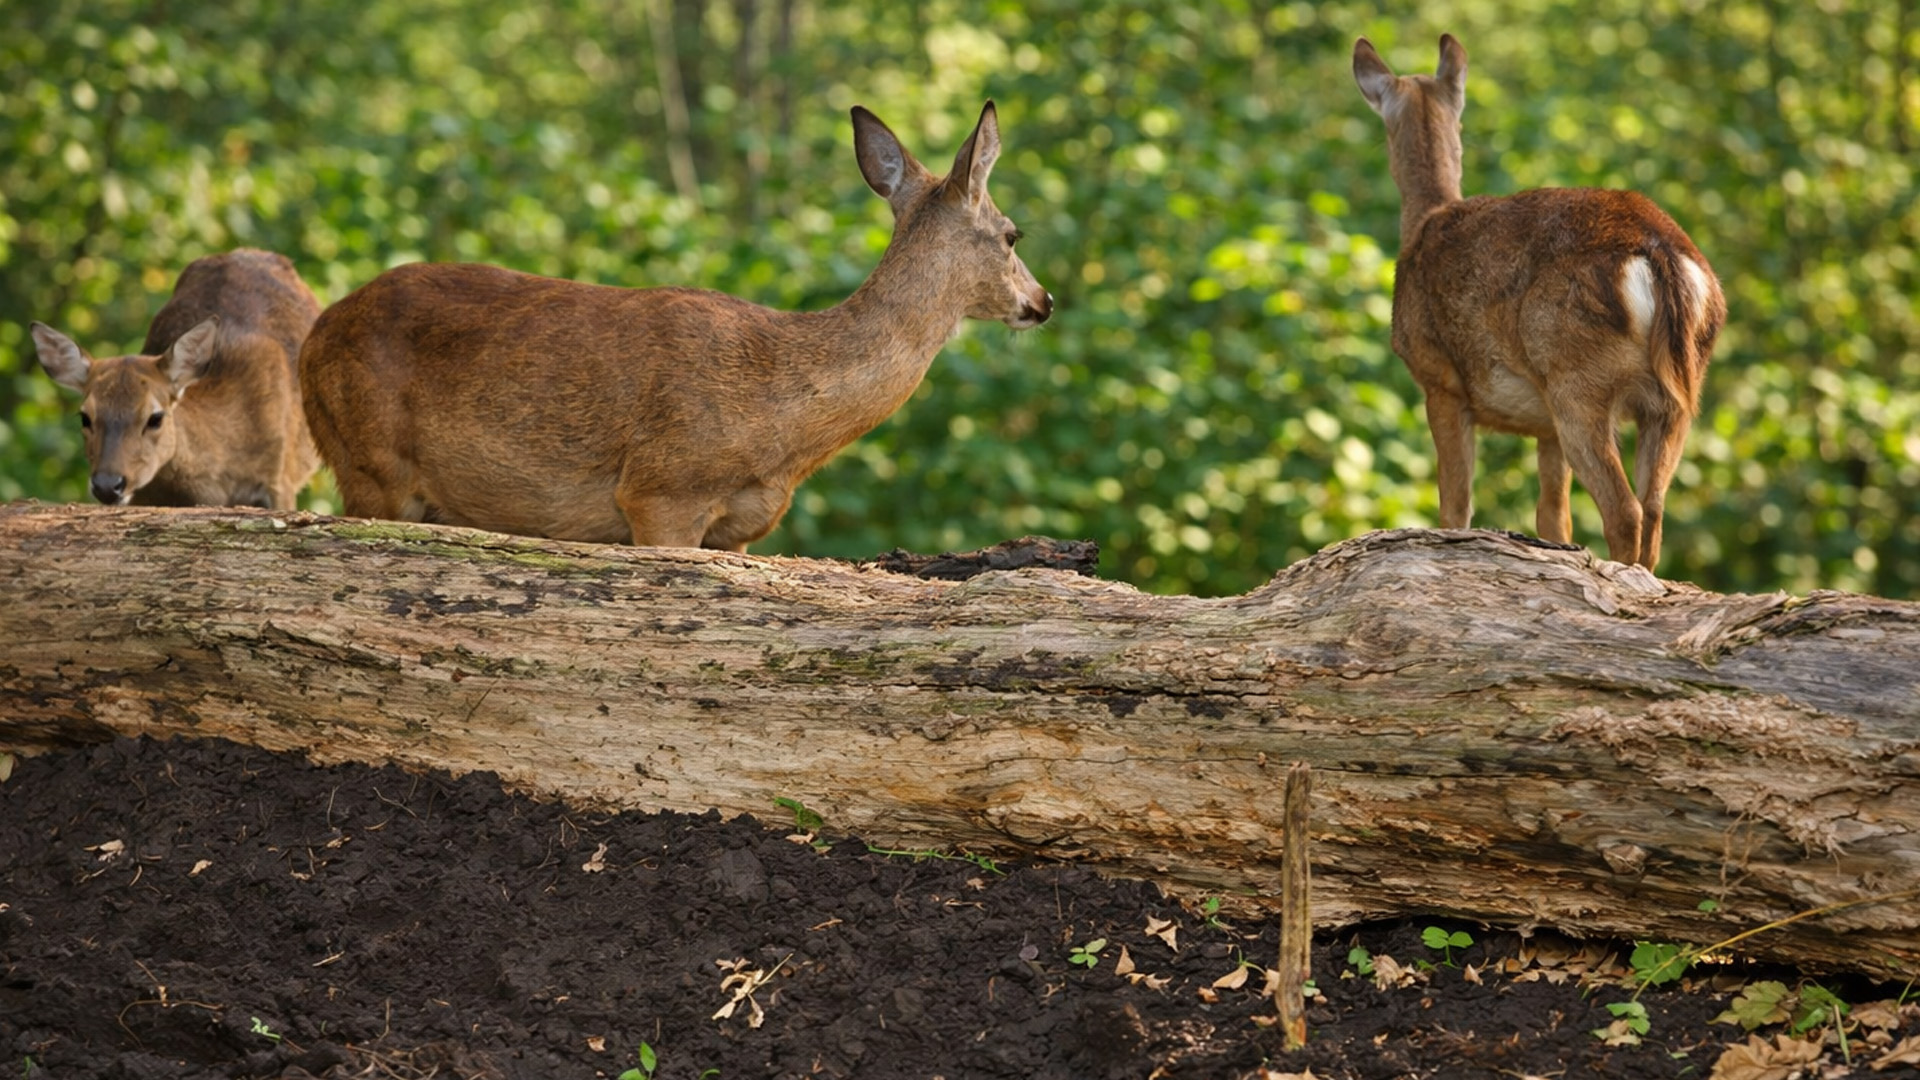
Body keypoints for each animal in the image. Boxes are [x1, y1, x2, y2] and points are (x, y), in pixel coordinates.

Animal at [297, 101, 1053, 551]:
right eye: (1013, 235)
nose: (1043, 300)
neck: (783, 419)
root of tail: (316, 330)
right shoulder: (661, 490)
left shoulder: (741, 531)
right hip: (370, 459)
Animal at [1352, 34, 1726, 571]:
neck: (1426, 221)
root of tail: (1660, 252)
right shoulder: (1543, 427)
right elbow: (1553, 518)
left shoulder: (1439, 379)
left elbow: (1455, 506)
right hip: (1676, 395)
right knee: (1654, 507)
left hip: (1575, 376)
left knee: (1626, 509)